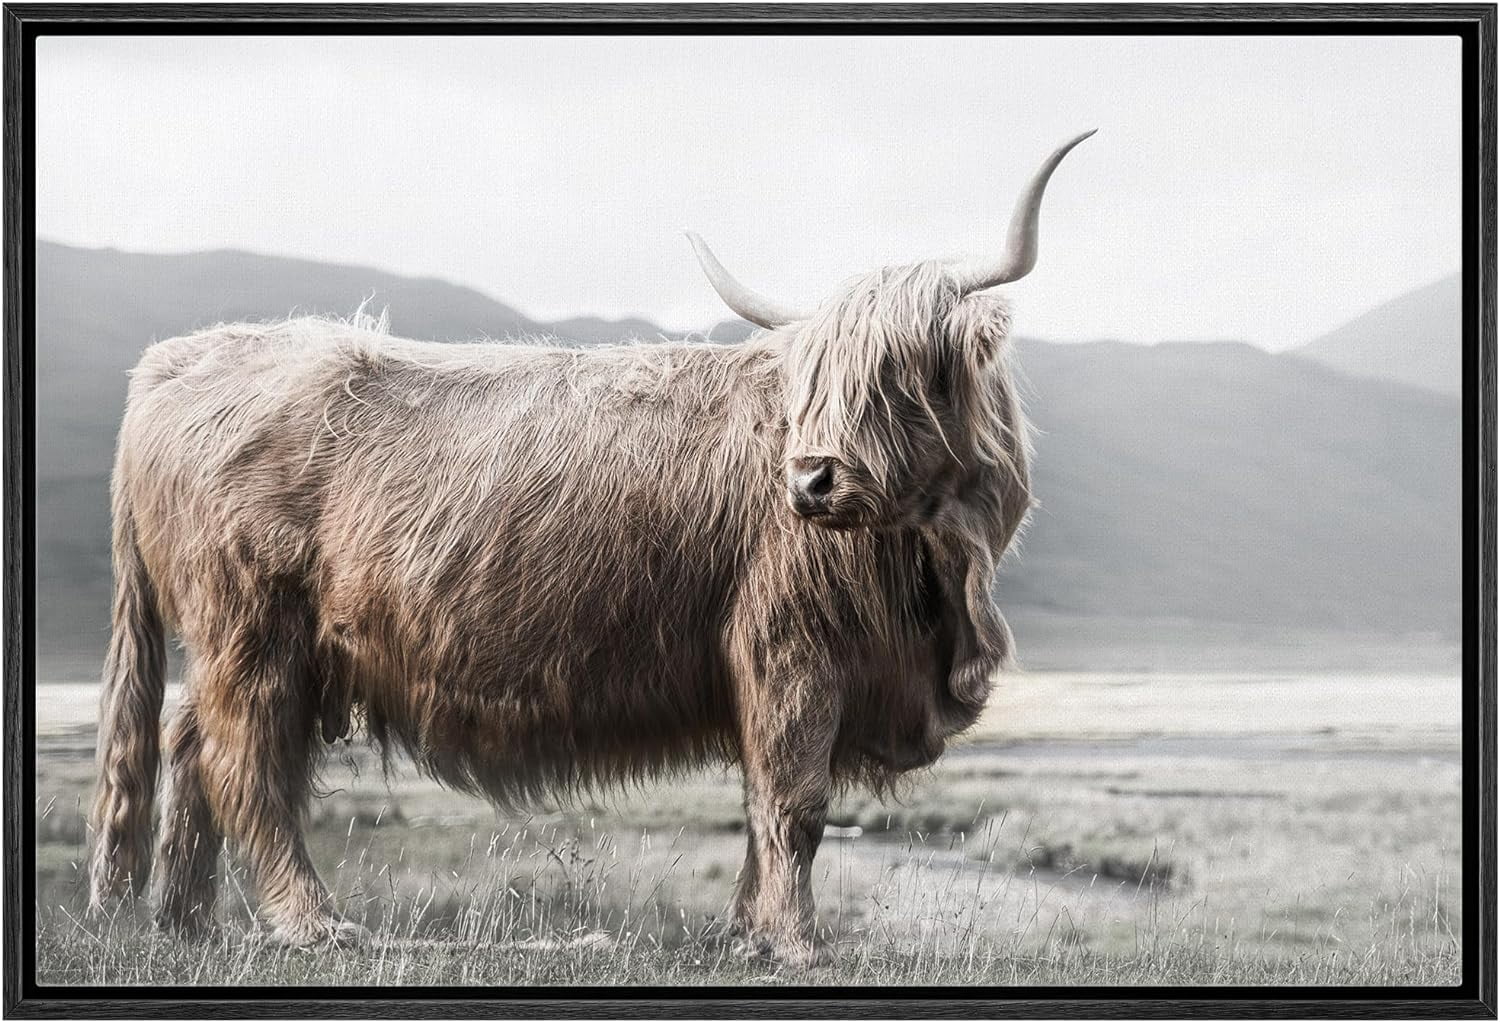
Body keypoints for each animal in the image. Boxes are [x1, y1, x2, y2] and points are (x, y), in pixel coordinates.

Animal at [87, 131, 1093, 967]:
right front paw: (799, 945)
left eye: (905, 371)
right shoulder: (791, 655)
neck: (941, 586)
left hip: (239, 643)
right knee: (247, 767)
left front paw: (745, 933)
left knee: (189, 745)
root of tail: (181, 360)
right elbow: (794, 805)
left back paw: (184, 920)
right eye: (812, 382)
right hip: (254, 633)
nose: (811, 480)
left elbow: (760, 808)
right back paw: (311, 923)